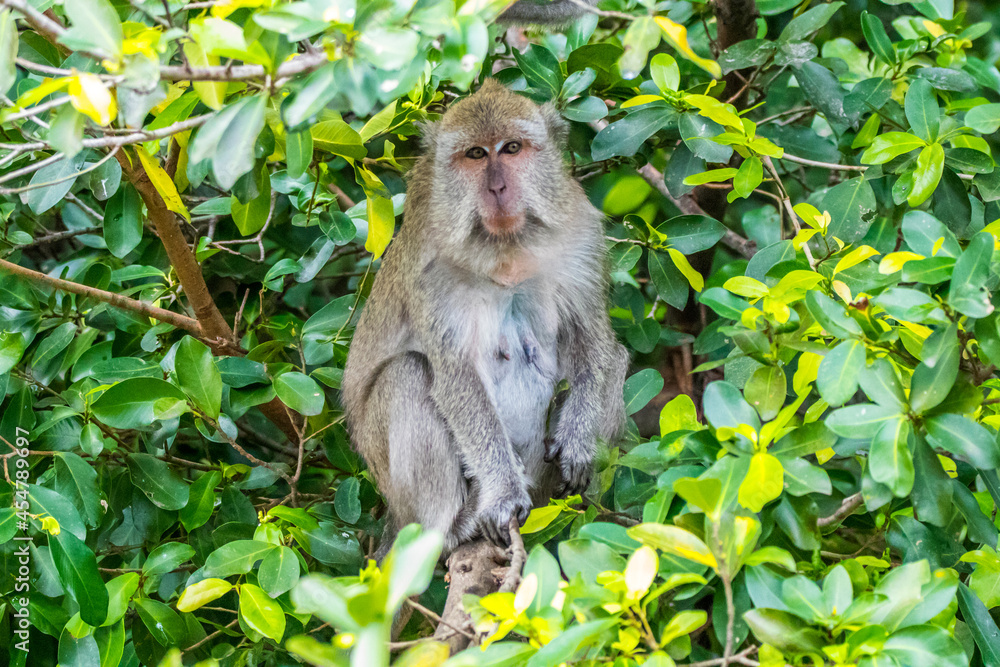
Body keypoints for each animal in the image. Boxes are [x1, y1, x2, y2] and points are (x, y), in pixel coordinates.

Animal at [341, 79, 628, 554]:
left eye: (511, 148)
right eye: (476, 154)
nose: (497, 188)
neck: (505, 249)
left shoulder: (580, 232)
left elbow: (594, 344)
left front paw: (577, 438)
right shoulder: (430, 270)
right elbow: (457, 377)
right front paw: (503, 496)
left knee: (618, 357)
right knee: (408, 373)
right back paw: (454, 526)